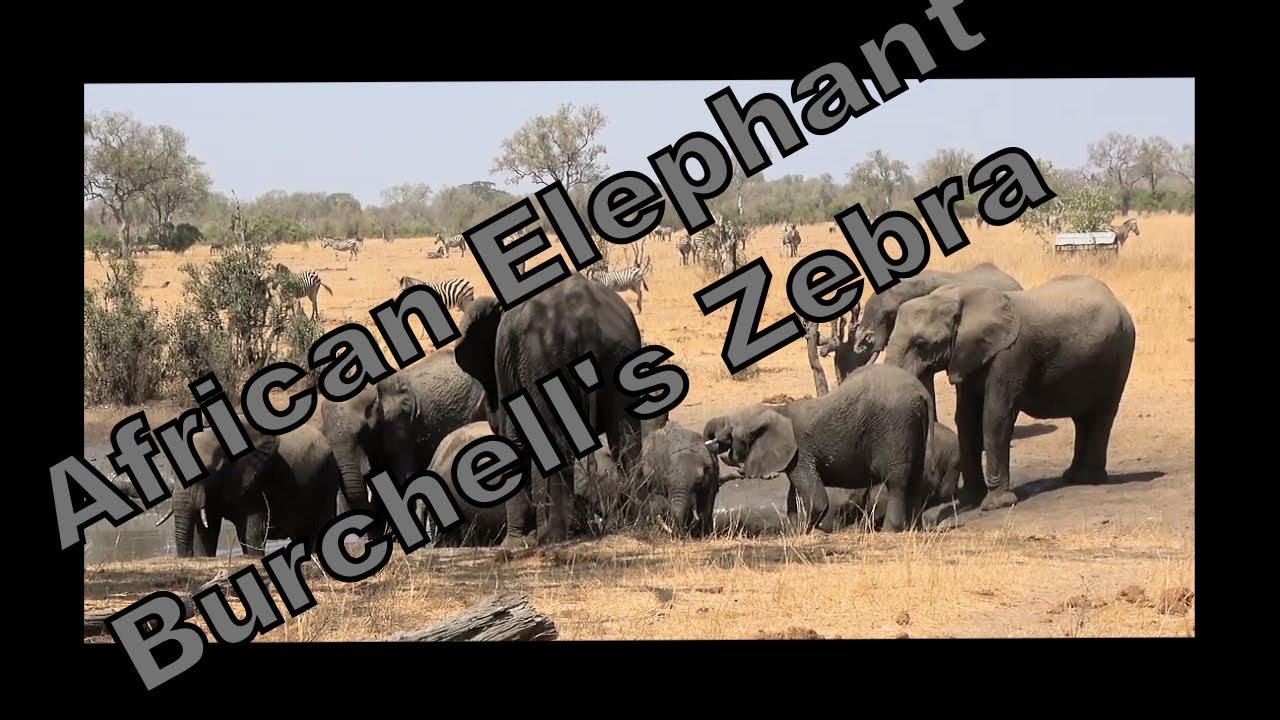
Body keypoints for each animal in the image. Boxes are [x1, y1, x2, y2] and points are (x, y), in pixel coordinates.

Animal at [173, 422, 341, 558]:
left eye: (209, 472)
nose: (187, 555)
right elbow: (206, 534)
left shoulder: (256, 482)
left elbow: (251, 533)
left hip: (327, 476)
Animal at [454, 276, 647, 548]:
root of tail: (584, 320)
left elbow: (516, 443)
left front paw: (514, 543)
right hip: (619, 351)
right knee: (626, 439)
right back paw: (635, 525)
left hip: (542, 361)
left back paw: (551, 537)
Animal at [703, 362, 934, 533]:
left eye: (731, 431)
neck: (778, 411)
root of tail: (922, 393)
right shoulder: (794, 458)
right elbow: (793, 496)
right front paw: (794, 531)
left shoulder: (801, 452)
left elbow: (816, 500)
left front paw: (804, 531)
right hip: (915, 430)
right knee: (916, 478)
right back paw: (914, 529)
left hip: (895, 427)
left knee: (896, 481)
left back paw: (890, 531)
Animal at [883, 275, 1136, 512]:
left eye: (921, 343)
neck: (961, 298)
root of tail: (1118, 302)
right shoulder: (968, 358)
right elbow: (966, 418)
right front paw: (970, 499)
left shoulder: (1010, 356)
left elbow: (995, 416)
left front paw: (996, 504)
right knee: (1083, 418)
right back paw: (1073, 477)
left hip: (1120, 352)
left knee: (1101, 415)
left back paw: (1087, 479)